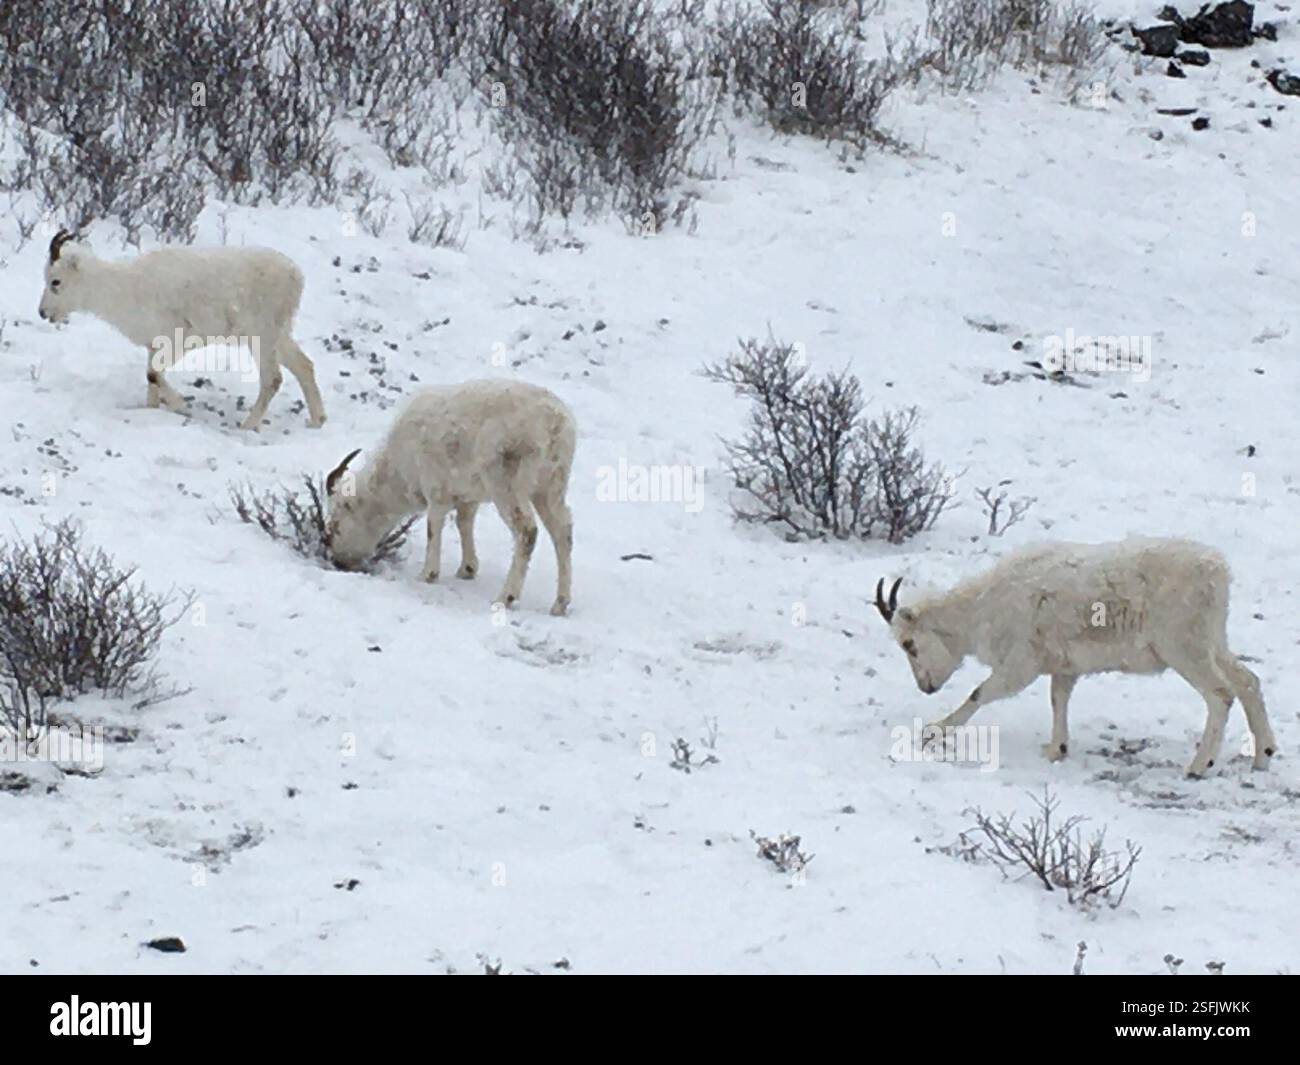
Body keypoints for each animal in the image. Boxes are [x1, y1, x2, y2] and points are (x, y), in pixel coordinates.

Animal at [37, 229, 325, 430]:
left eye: (56, 282)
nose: (43, 313)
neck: (126, 287)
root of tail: (297, 275)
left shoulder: (178, 341)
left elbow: (153, 374)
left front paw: (183, 407)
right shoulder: (154, 345)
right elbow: (151, 380)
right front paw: (151, 409)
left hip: (262, 338)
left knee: (273, 379)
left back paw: (247, 426)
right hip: (279, 336)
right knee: (304, 366)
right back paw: (316, 421)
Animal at [324, 379, 576, 615]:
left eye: (335, 525)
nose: (338, 561)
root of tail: (554, 423)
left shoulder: (437, 495)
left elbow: (433, 528)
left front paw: (428, 575)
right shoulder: (467, 498)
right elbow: (464, 524)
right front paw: (467, 569)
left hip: (508, 485)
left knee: (526, 532)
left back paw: (505, 597)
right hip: (550, 488)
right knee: (562, 530)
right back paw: (559, 604)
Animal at [873, 538, 1277, 777]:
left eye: (909, 643)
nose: (925, 687)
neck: (981, 610)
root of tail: (1217, 572)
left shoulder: (1021, 665)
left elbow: (979, 694)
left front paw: (934, 730)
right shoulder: (1064, 668)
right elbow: (1059, 700)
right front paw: (1057, 750)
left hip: (1186, 650)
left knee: (1221, 695)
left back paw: (1198, 766)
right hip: (1212, 644)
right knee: (1247, 681)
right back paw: (1263, 756)